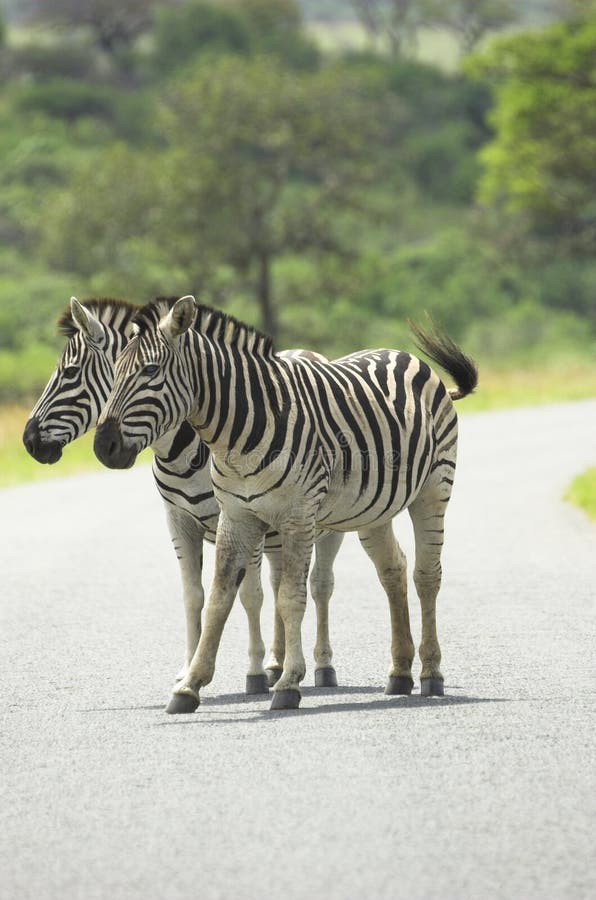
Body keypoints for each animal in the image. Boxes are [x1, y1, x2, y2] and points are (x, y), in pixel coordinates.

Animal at [23, 297, 343, 694]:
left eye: (69, 373)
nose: (28, 441)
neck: (182, 451)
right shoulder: (178, 521)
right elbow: (194, 596)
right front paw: (189, 669)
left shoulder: (237, 518)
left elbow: (249, 595)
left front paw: (252, 672)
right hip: (278, 533)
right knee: (280, 580)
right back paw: (277, 663)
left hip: (326, 528)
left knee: (319, 585)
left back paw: (321, 666)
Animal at [94, 295, 478, 713]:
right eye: (114, 373)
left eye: (150, 371)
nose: (103, 446)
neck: (237, 434)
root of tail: (403, 355)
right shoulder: (236, 516)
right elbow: (219, 598)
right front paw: (189, 686)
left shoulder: (298, 516)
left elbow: (290, 598)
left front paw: (288, 684)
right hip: (373, 509)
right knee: (393, 570)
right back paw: (400, 673)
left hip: (433, 488)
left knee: (426, 575)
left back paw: (430, 674)